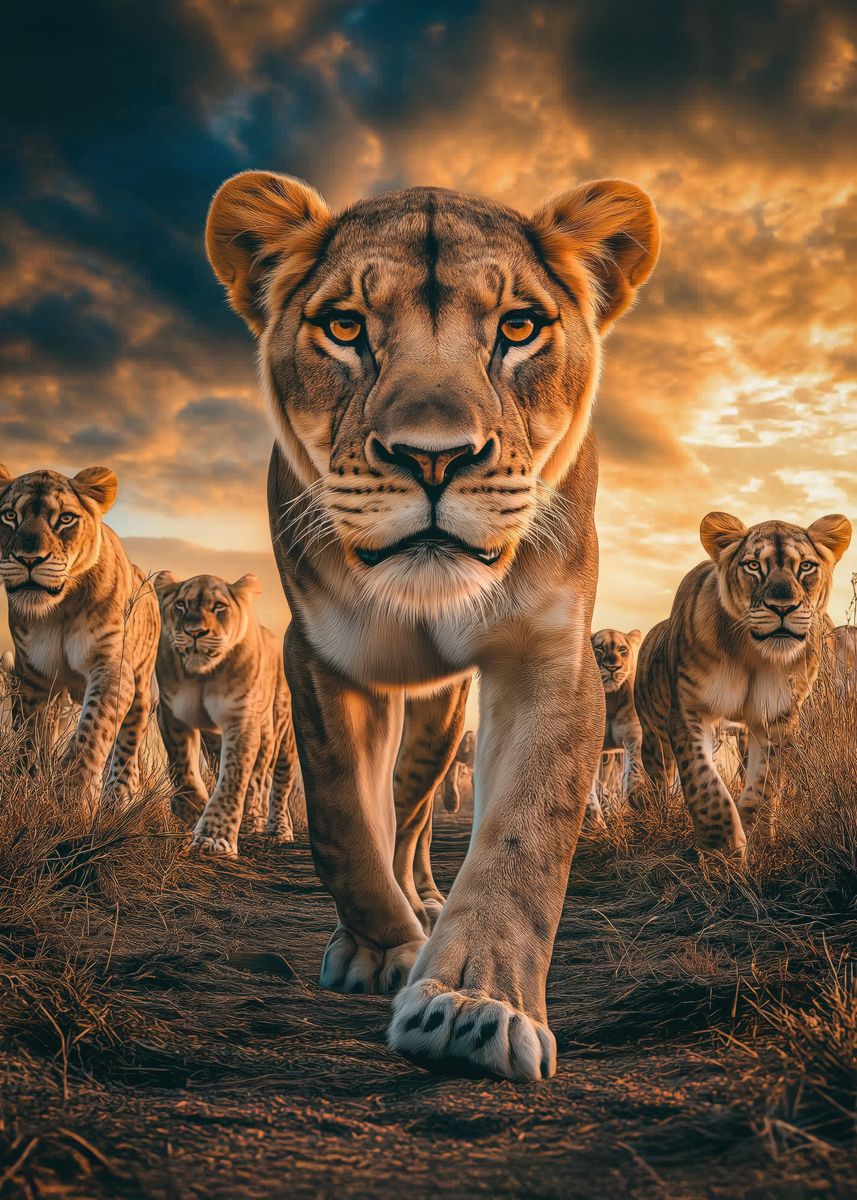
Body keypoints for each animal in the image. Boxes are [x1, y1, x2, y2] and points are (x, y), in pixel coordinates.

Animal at [0, 464, 160, 820]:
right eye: (9, 516)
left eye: (65, 519)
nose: (29, 559)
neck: (59, 610)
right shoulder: (32, 675)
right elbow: (30, 737)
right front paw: (27, 790)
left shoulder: (112, 668)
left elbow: (92, 732)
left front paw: (74, 800)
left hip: (141, 685)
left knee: (128, 744)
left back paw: (119, 799)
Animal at [154, 571, 301, 855]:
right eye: (181, 605)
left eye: (218, 607)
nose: (195, 632)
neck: (204, 676)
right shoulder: (172, 714)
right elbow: (182, 768)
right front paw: (195, 810)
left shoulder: (240, 720)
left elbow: (233, 778)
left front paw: (214, 838)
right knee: (256, 778)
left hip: (282, 733)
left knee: (278, 781)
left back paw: (277, 830)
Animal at [585, 628, 644, 828]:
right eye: (599, 648)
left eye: (622, 649)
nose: (613, 668)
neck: (609, 698)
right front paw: (595, 823)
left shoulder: (634, 736)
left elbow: (635, 770)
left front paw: (638, 798)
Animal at [635, 512, 851, 856]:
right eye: (752, 565)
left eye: (806, 566)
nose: (782, 607)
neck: (752, 655)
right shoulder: (688, 713)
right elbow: (706, 788)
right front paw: (723, 854)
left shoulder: (776, 718)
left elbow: (764, 785)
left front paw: (758, 842)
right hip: (654, 734)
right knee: (660, 778)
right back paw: (661, 817)